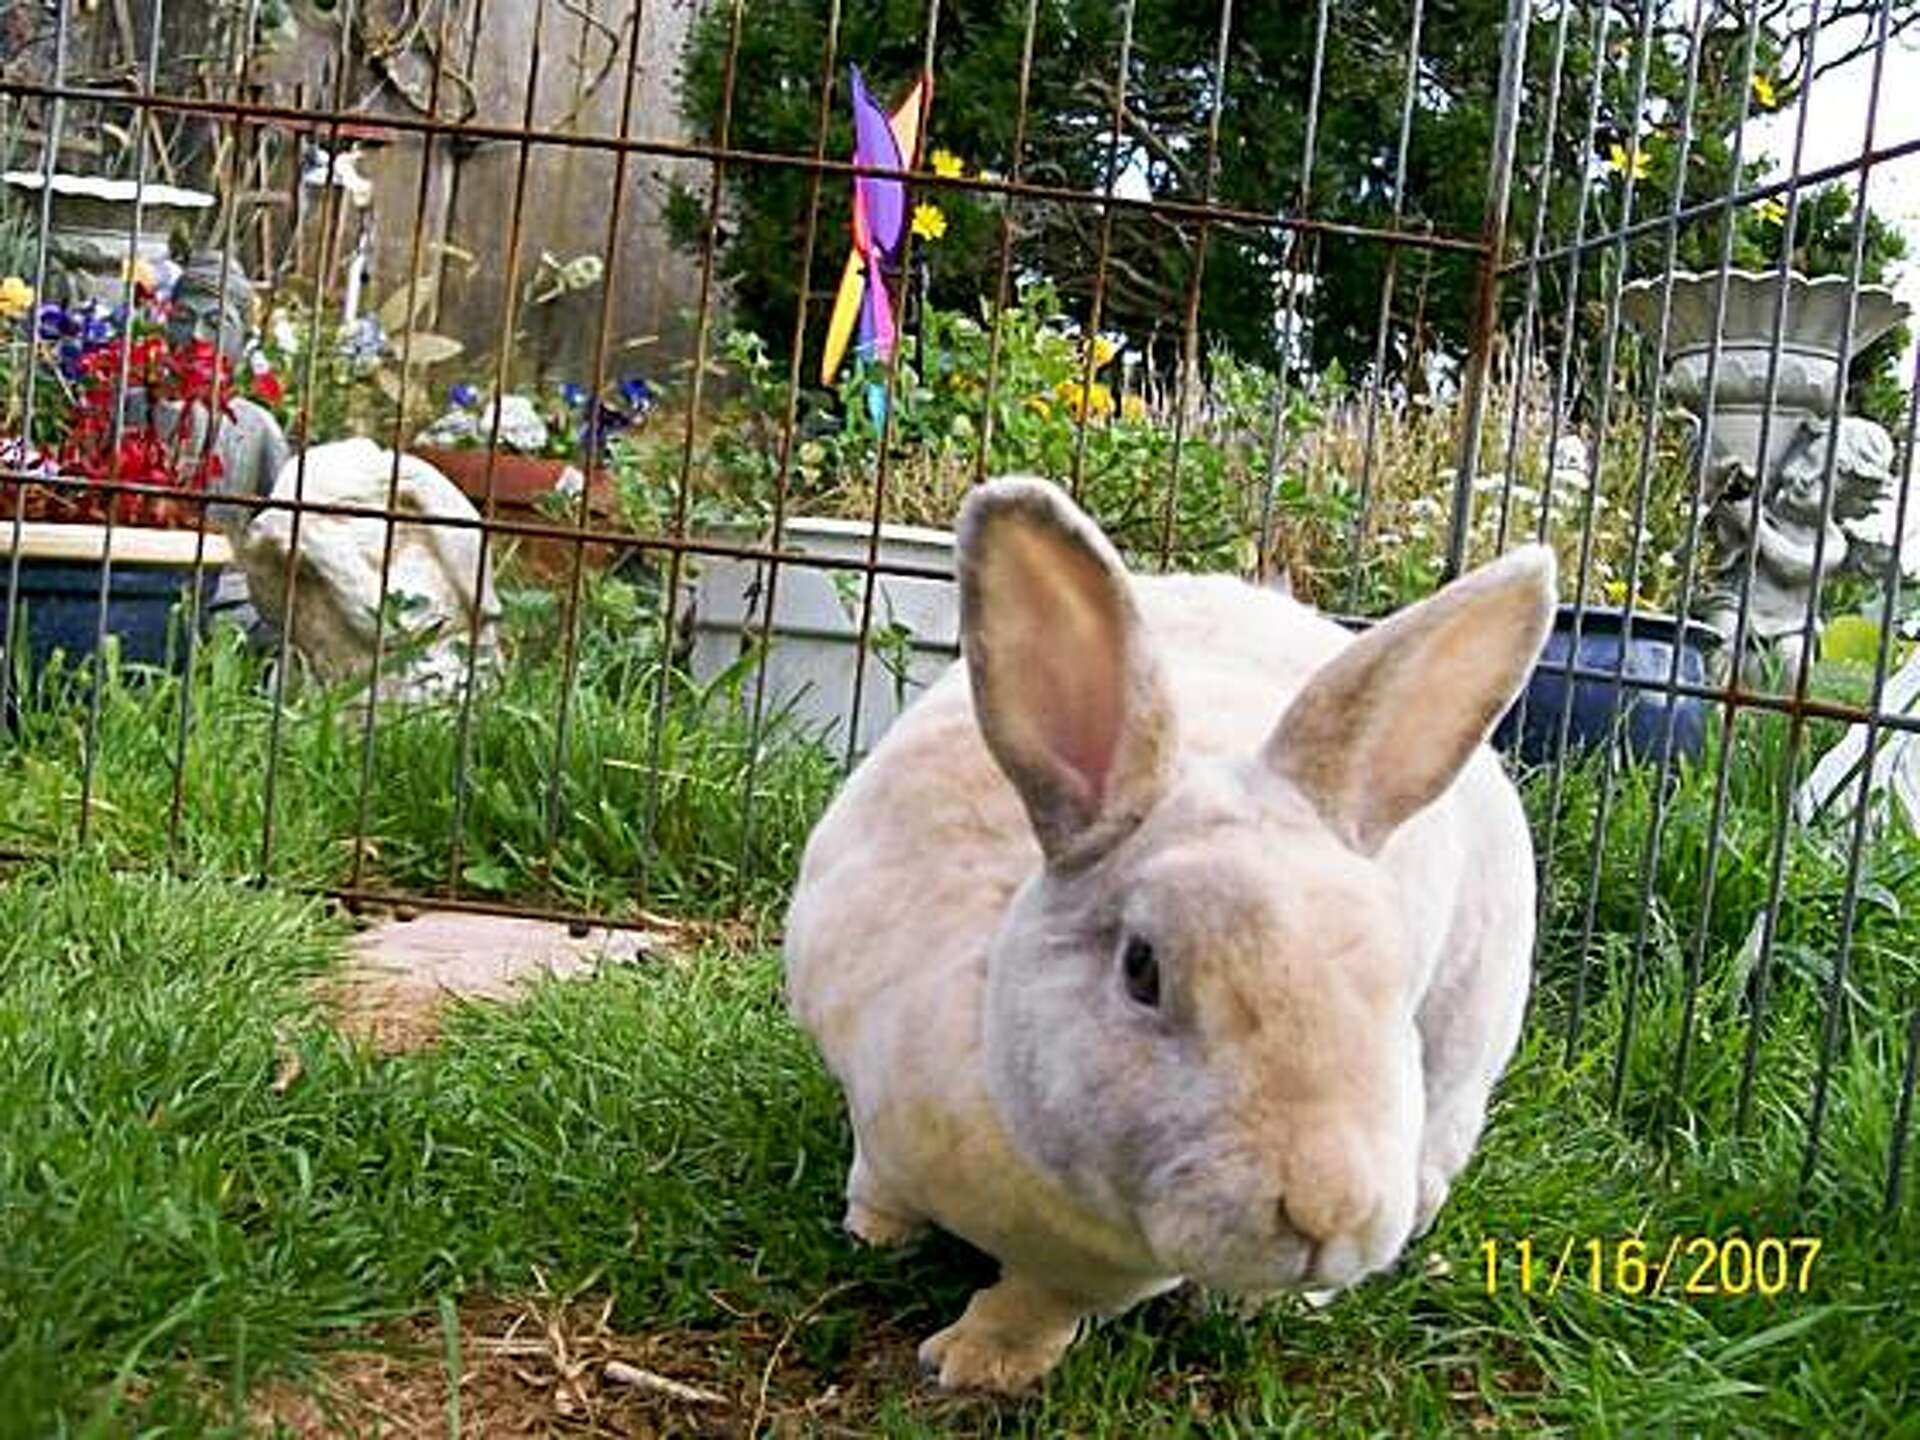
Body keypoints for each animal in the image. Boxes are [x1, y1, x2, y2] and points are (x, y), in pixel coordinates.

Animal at [783, 476, 1553, 1393]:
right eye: (1143, 969)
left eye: (1397, 990)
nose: (1329, 1212)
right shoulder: (872, 1098)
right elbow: (877, 1180)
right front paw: (874, 1234)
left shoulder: (1096, 1274)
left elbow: (1037, 1307)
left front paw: (977, 1364)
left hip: (1455, 1090)